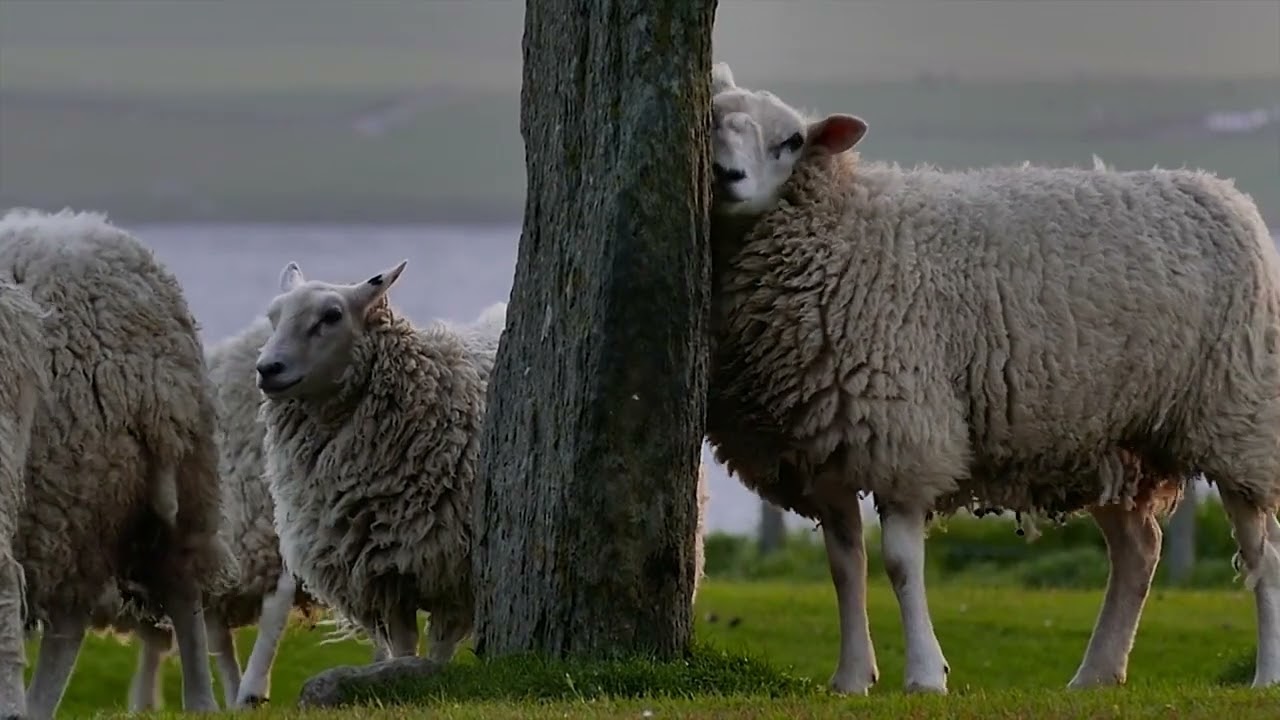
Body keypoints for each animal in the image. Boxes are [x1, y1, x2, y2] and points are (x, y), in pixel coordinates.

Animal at [255, 259, 490, 664]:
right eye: (273, 316)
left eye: (332, 316)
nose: (267, 368)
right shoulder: (380, 575)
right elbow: (404, 647)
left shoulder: (452, 570)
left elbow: (439, 651)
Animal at [703, 62, 1280, 694]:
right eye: (711, 121)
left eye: (791, 141)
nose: (726, 176)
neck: (846, 229)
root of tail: (1223, 191)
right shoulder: (824, 442)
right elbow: (845, 564)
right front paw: (852, 677)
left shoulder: (906, 435)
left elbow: (900, 562)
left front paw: (925, 675)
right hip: (1107, 434)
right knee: (1139, 550)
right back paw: (1096, 675)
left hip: (1239, 418)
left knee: (1264, 556)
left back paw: (1265, 675)